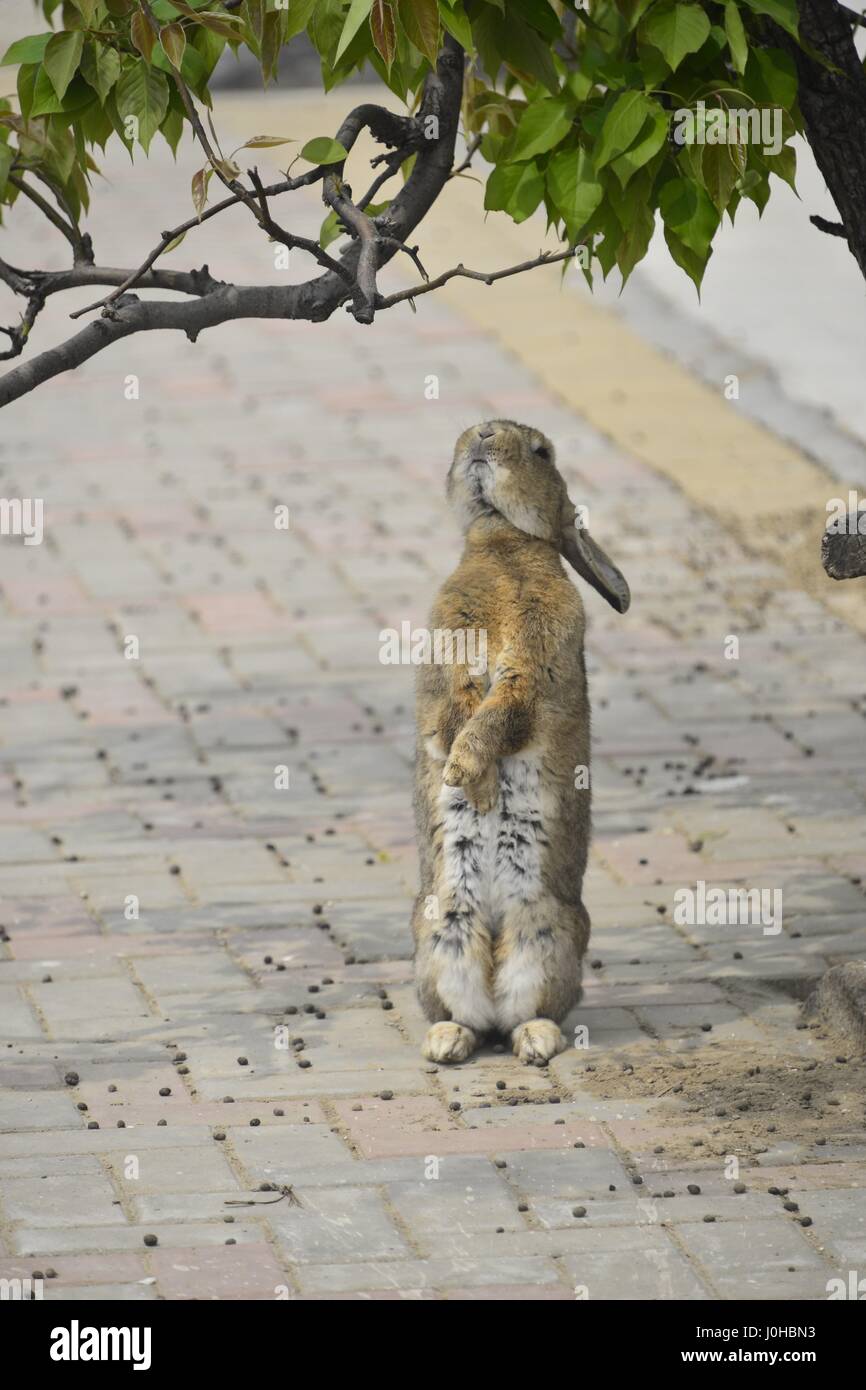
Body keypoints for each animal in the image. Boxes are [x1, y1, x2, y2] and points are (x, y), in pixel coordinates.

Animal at [411, 420, 630, 1066]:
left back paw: (534, 1041)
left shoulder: (533, 663)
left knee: (523, 1013)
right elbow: (456, 707)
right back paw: (447, 1042)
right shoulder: (450, 653)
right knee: (471, 1016)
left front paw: (468, 777)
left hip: (545, 931)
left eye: (542, 452)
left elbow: (500, 710)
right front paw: (469, 783)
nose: (482, 433)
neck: (502, 542)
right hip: (440, 931)